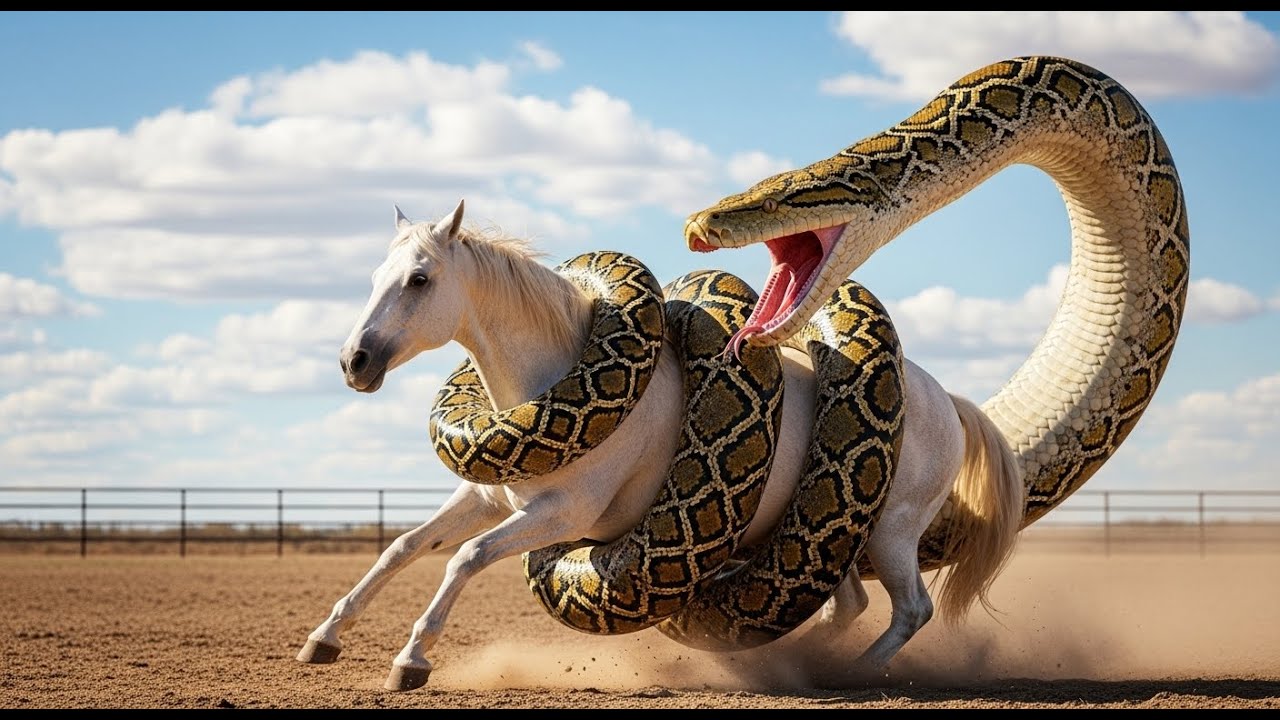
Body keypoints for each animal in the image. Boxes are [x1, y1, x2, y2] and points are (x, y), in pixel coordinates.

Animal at [296, 199, 1023, 692]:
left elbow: (464, 560)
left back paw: (850, 673)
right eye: (372, 275)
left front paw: (411, 659)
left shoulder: (560, 516)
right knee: (848, 603)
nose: (354, 362)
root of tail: (947, 401)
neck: (553, 366)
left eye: (419, 279)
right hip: (836, 537)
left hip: (892, 531)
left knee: (911, 610)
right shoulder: (485, 496)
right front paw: (324, 636)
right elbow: (403, 547)